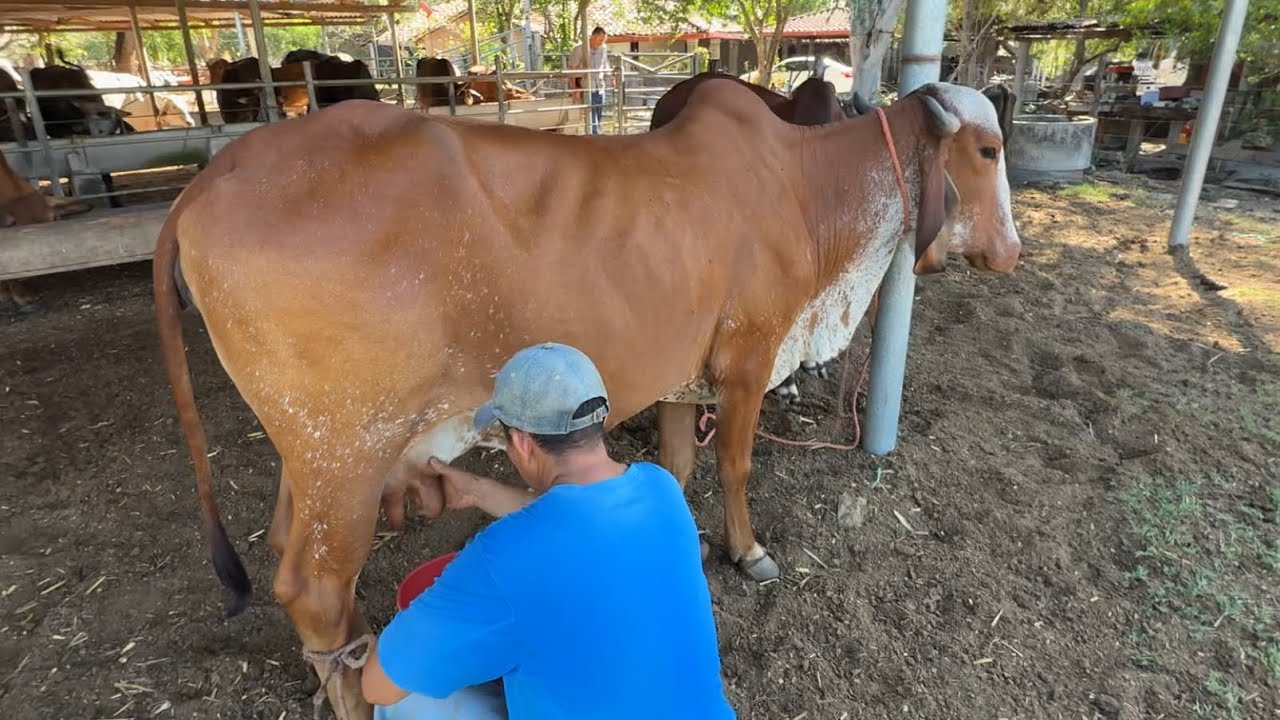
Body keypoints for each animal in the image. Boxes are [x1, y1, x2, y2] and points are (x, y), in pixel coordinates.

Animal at [153, 82, 1019, 719]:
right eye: (987, 150)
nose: (1011, 251)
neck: (805, 191)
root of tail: (211, 180)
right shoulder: (747, 356)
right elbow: (735, 466)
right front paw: (747, 552)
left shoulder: (682, 371)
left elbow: (678, 465)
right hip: (347, 454)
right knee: (314, 588)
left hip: (312, 451)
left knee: (283, 549)